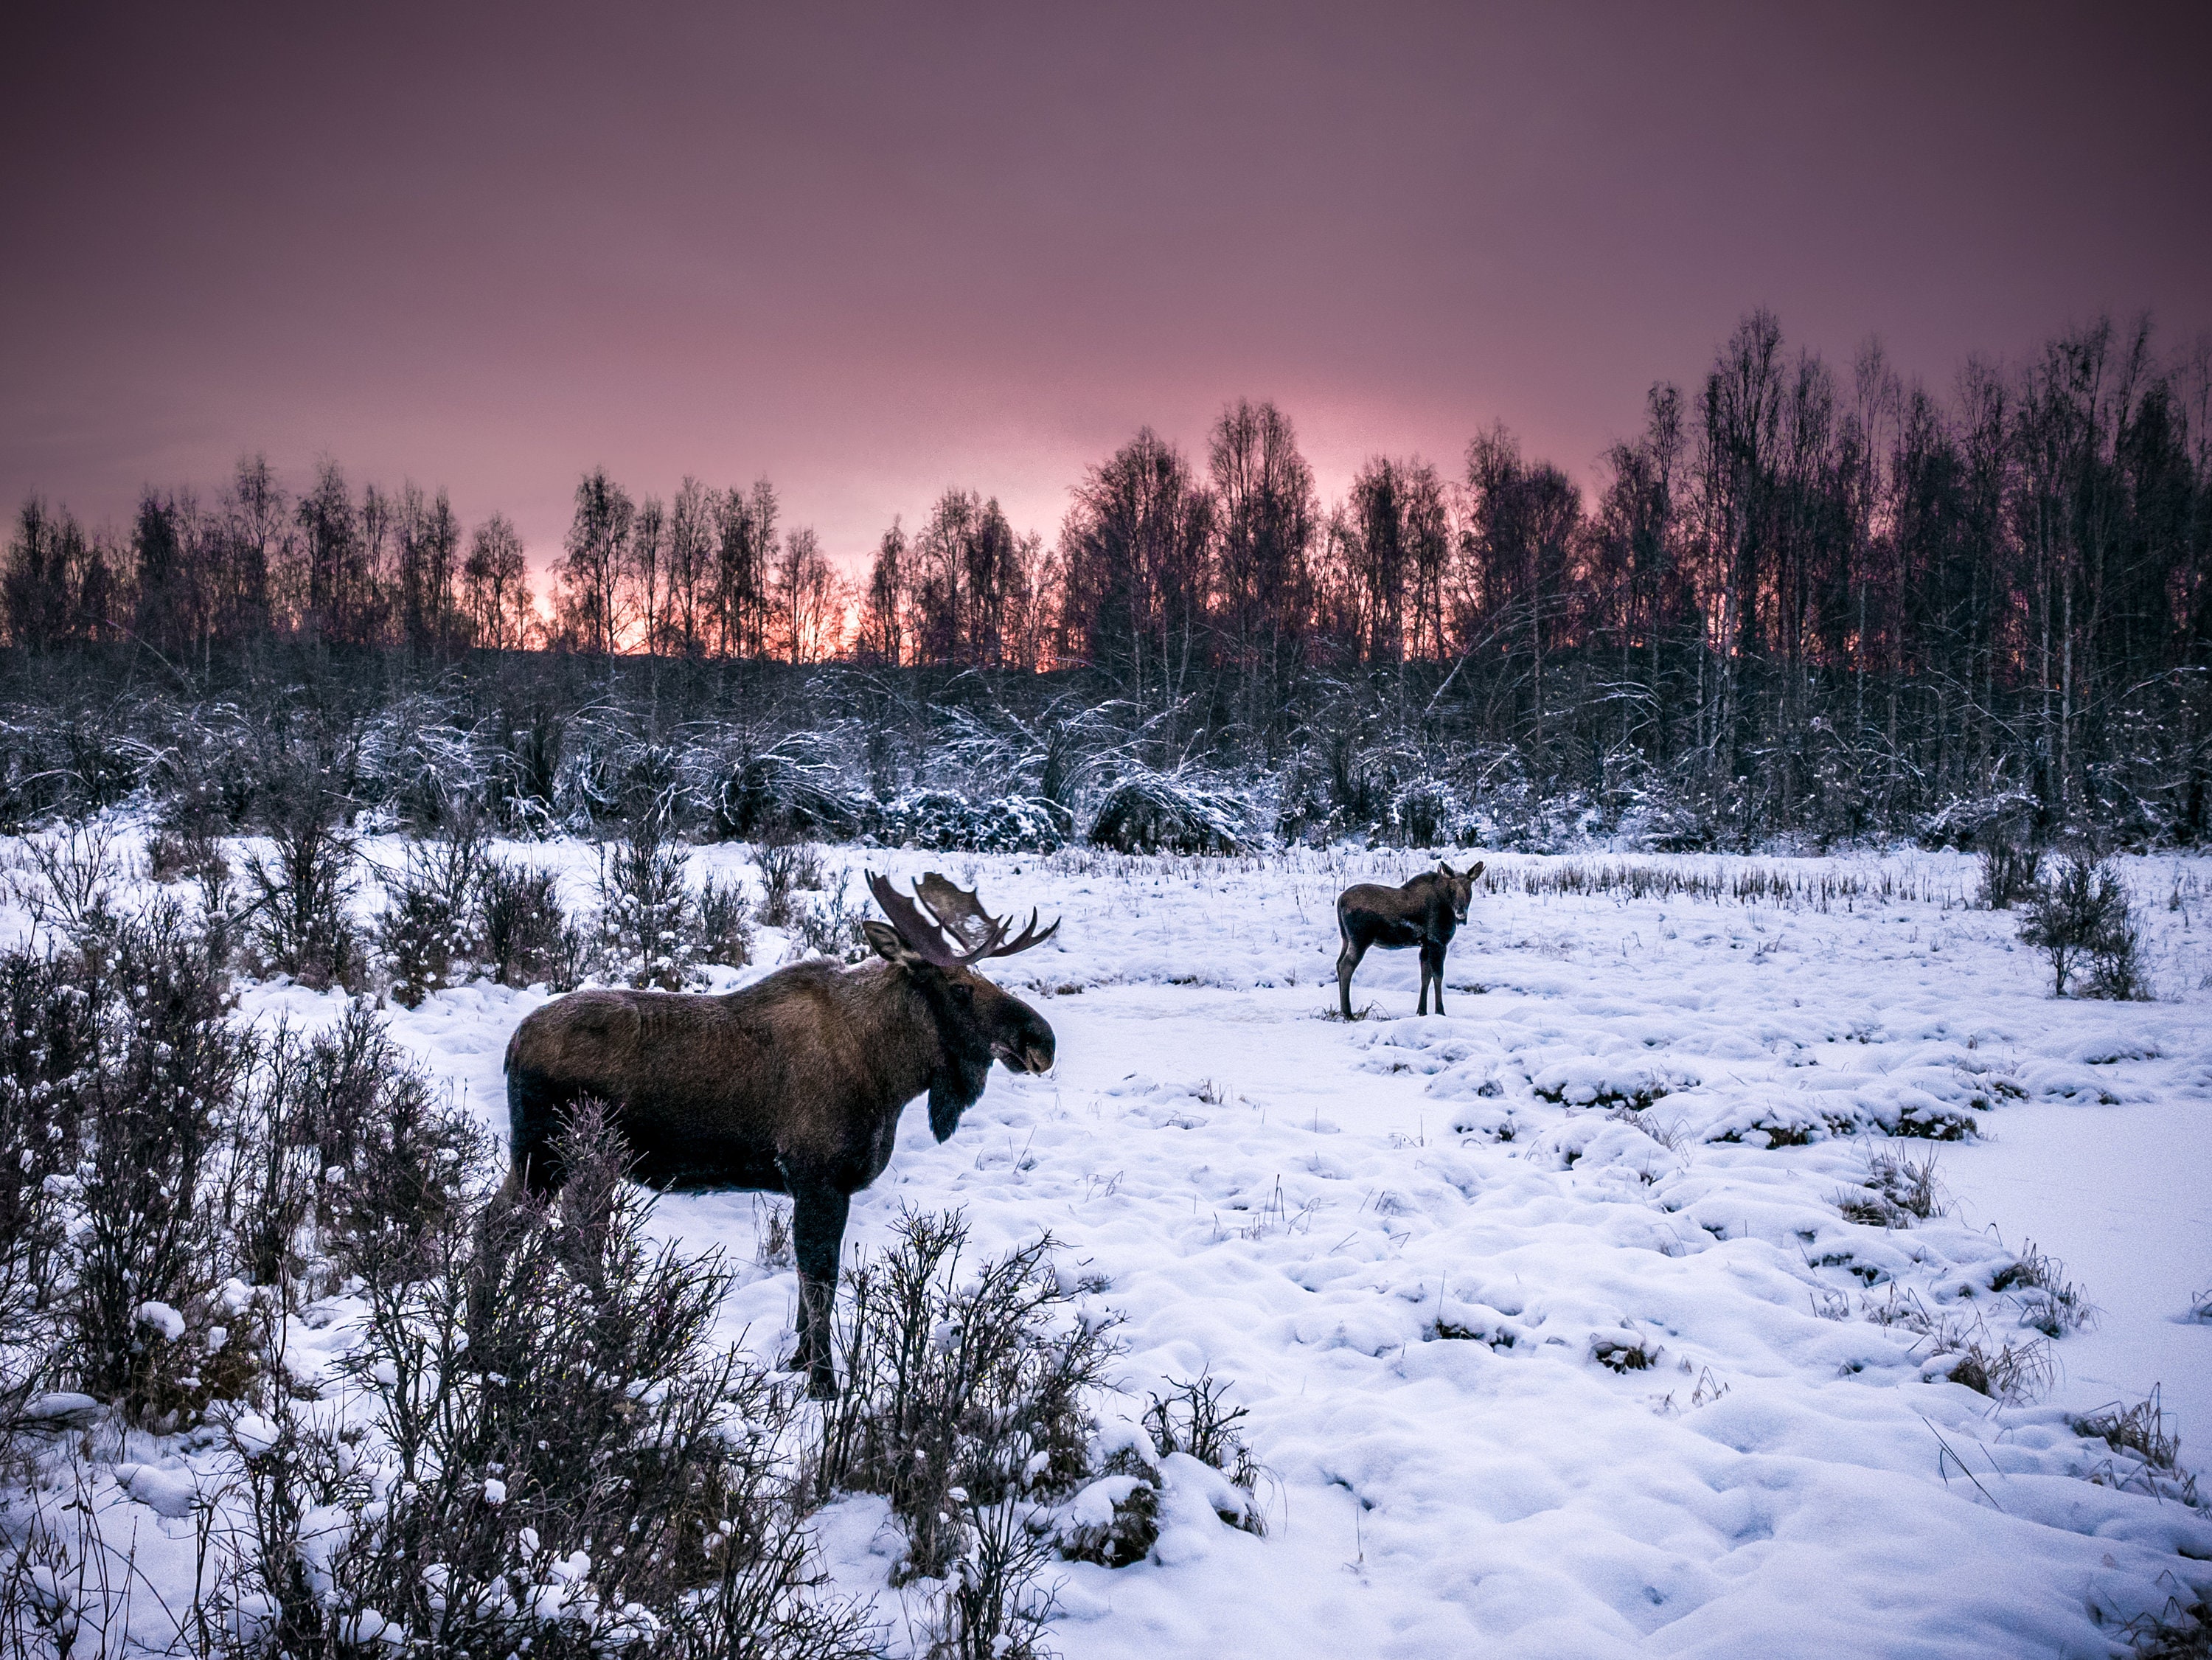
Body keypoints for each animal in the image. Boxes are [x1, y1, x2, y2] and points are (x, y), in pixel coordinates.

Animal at [503, 871, 1060, 1398]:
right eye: (959, 987)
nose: (1043, 1040)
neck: (890, 1074)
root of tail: (513, 1045)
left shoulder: (811, 1186)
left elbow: (805, 1280)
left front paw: (798, 1361)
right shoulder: (819, 1178)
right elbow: (820, 1280)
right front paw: (823, 1381)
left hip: (557, 1160)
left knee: (531, 1232)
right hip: (559, 1154)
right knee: (551, 1240)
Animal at [1335, 860, 1484, 1019]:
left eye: (1468, 887)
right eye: (1452, 889)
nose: (1460, 911)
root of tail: (1340, 901)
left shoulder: (1425, 945)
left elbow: (1425, 977)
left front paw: (1422, 1011)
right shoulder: (1438, 943)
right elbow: (1438, 977)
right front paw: (1440, 1012)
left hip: (1346, 939)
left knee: (1338, 964)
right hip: (1360, 940)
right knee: (1346, 965)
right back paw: (1348, 1012)